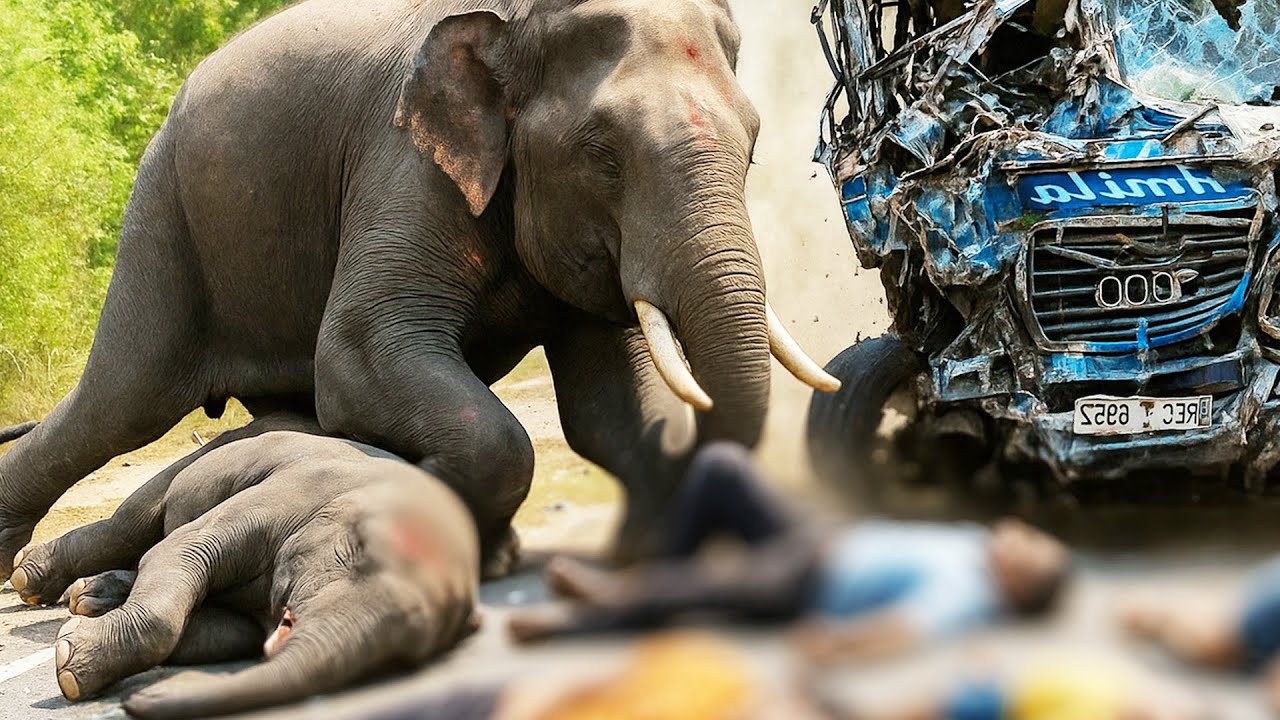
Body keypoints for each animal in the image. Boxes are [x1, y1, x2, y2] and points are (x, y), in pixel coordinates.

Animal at [0, 0, 837, 581]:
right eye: (602, 153)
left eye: (753, 146)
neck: (514, 21)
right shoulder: (402, 157)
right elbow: (360, 353)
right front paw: (452, 520)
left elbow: (605, 404)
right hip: (165, 213)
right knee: (120, 404)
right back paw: (21, 565)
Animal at [12, 415, 479, 719]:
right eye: (358, 550)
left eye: (410, 649)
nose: (133, 703)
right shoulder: (290, 494)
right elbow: (183, 549)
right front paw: (70, 662)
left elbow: (229, 631)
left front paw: (79, 637)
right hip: (199, 461)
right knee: (128, 529)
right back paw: (36, 579)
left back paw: (89, 598)